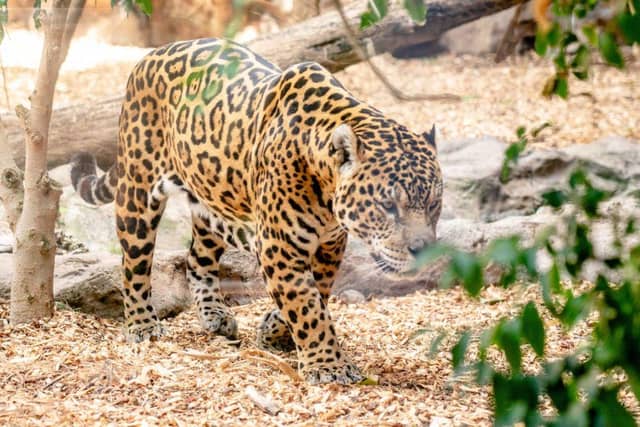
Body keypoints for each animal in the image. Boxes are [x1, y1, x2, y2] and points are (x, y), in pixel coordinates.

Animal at [70, 38, 443, 384]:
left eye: (434, 204)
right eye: (388, 206)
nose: (423, 249)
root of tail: (151, 54)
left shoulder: (329, 245)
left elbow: (316, 294)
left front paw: (275, 330)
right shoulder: (279, 246)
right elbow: (306, 304)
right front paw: (327, 365)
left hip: (213, 201)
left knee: (197, 259)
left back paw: (214, 314)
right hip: (138, 190)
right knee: (134, 262)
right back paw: (142, 324)